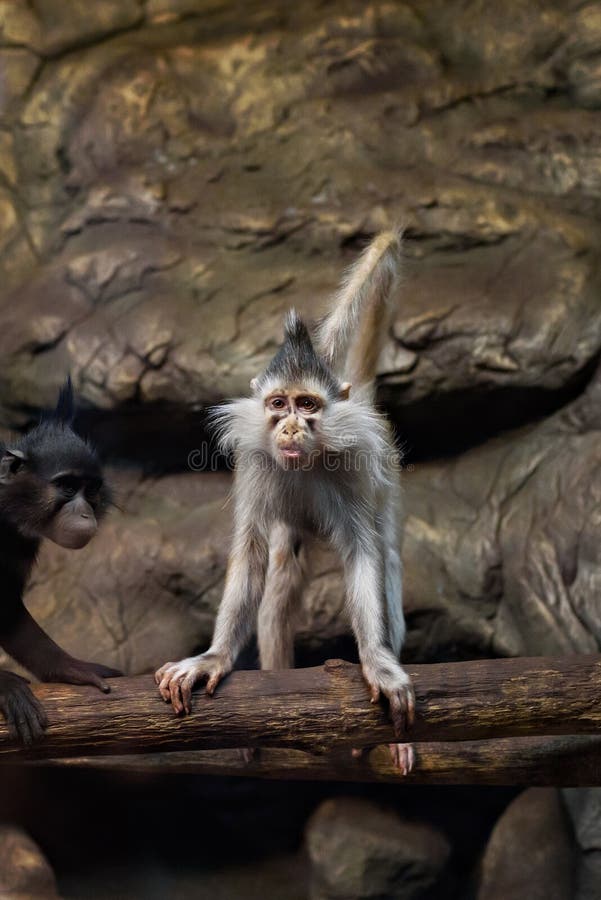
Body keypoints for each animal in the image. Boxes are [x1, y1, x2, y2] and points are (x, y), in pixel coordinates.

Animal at [0, 377, 121, 743]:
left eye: (90, 489)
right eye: (68, 487)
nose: (84, 513)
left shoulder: (19, 540)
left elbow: (7, 608)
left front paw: (71, 669)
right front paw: (3, 686)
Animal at [156, 230, 415, 774]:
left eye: (307, 405)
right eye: (279, 404)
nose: (292, 427)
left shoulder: (355, 462)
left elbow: (364, 554)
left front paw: (378, 663)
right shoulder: (254, 460)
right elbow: (251, 551)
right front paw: (214, 657)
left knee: (386, 559)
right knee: (281, 569)